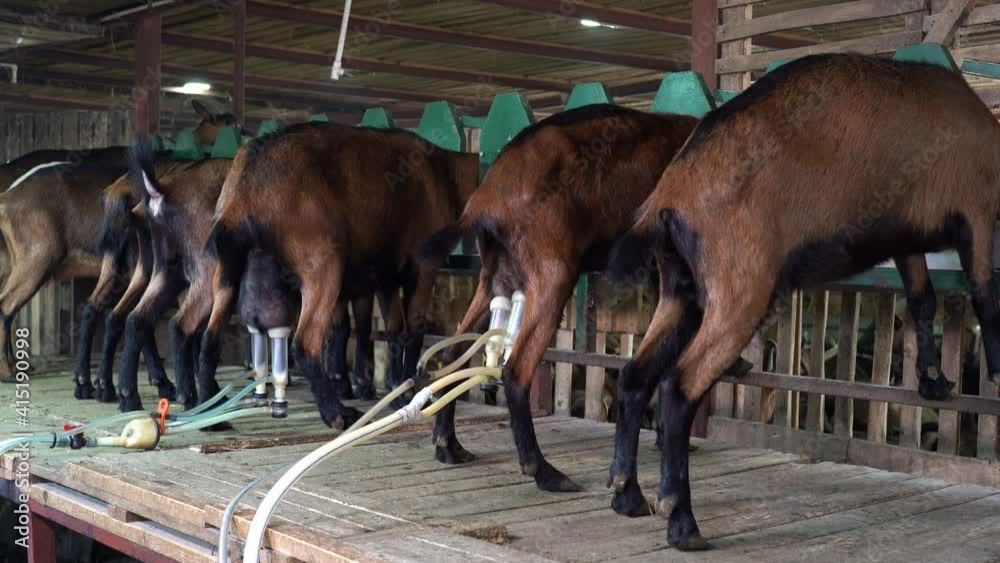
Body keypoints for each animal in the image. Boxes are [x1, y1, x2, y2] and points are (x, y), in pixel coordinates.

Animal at [199, 122, 479, 428]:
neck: (445, 172)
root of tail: (246, 186)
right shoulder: (423, 265)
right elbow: (414, 329)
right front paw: (410, 390)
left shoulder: (387, 277)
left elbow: (393, 328)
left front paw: (395, 386)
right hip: (323, 265)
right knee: (304, 343)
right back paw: (336, 413)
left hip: (227, 269)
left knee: (210, 336)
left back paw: (210, 411)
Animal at [420, 104, 698, 490]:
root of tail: (487, 199)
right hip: (552, 275)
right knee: (515, 371)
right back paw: (542, 471)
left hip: (495, 278)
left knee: (454, 351)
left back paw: (448, 444)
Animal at [608, 54, 1000, 551]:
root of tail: (671, 194)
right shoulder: (978, 211)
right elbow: (985, 294)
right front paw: (996, 372)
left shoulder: (907, 236)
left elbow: (922, 299)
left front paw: (933, 381)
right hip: (740, 289)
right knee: (679, 388)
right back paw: (682, 521)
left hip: (681, 290)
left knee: (635, 377)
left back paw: (627, 494)